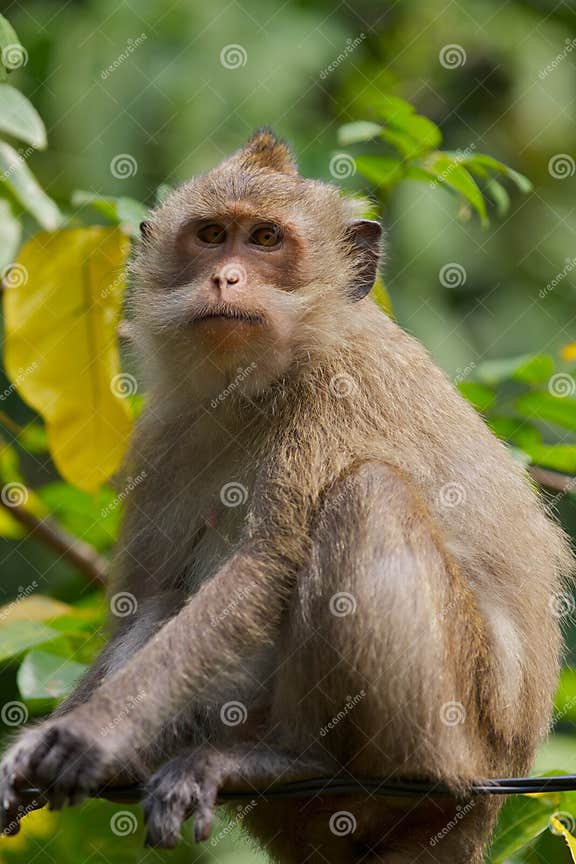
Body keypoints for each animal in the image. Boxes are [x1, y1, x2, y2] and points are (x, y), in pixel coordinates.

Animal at [0, 128, 572, 863]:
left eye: (267, 239)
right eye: (212, 235)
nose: (226, 276)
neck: (254, 388)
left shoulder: (334, 391)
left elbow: (264, 568)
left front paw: (91, 733)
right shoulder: (161, 433)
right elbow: (146, 599)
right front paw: (36, 751)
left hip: (463, 732)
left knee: (368, 494)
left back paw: (302, 762)